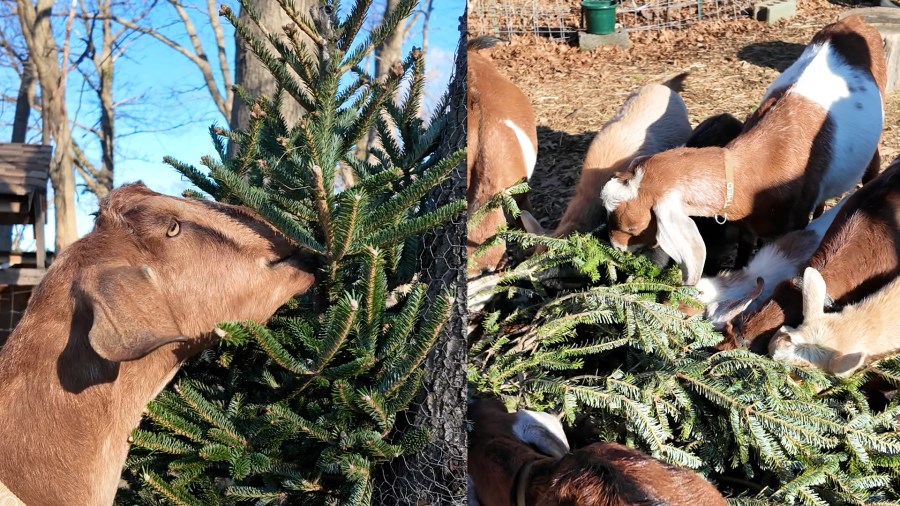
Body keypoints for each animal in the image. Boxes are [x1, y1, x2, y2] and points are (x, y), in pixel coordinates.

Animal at [602, 16, 886, 286]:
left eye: (632, 227)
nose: (616, 247)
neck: (760, 166)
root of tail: (854, 21)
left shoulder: (793, 224)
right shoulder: (746, 227)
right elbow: (743, 257)